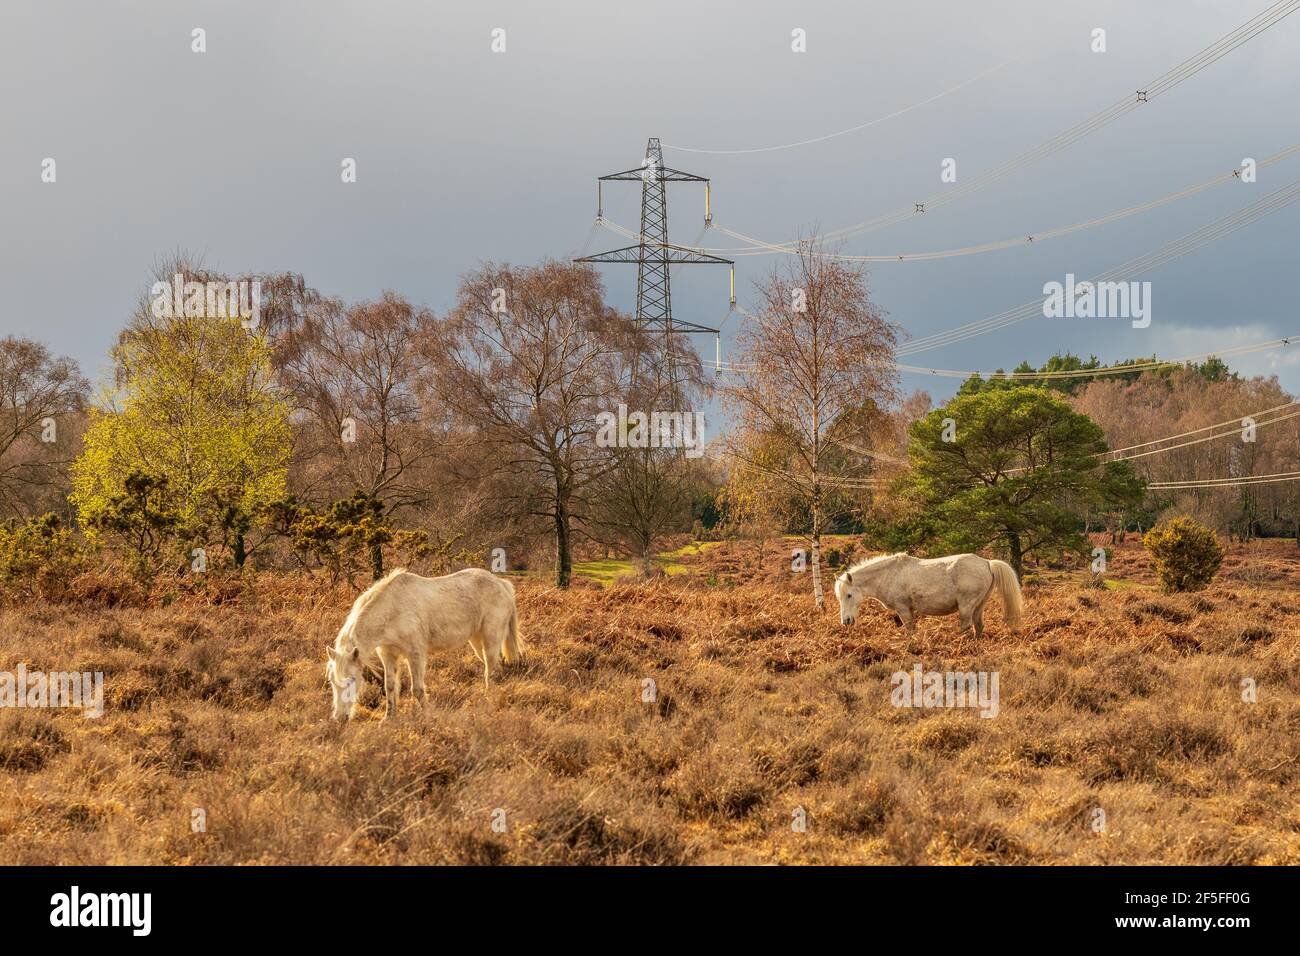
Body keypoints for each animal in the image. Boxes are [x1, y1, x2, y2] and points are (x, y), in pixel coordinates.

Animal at [325, 567, 522, 722]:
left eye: (352, 680)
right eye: (332, 681)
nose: (339, 718)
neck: (392, 610)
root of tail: (502, 584)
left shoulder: (415, 655)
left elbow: (418, 689)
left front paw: (428, 716)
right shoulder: (389, 655)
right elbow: (390, 687)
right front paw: (389, 718)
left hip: (491, 640)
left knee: (491, 672)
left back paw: (488, 701)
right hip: (477, 642)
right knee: (495, 668)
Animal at [833, 552, 1022, 638]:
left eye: (849, 595)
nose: (846, 621)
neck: (889, 574)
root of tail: (987, 563)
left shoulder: (903, 609)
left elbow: (910, 630)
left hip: (966, 607)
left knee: (966, 627)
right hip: (979, 606)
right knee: (979, 626)